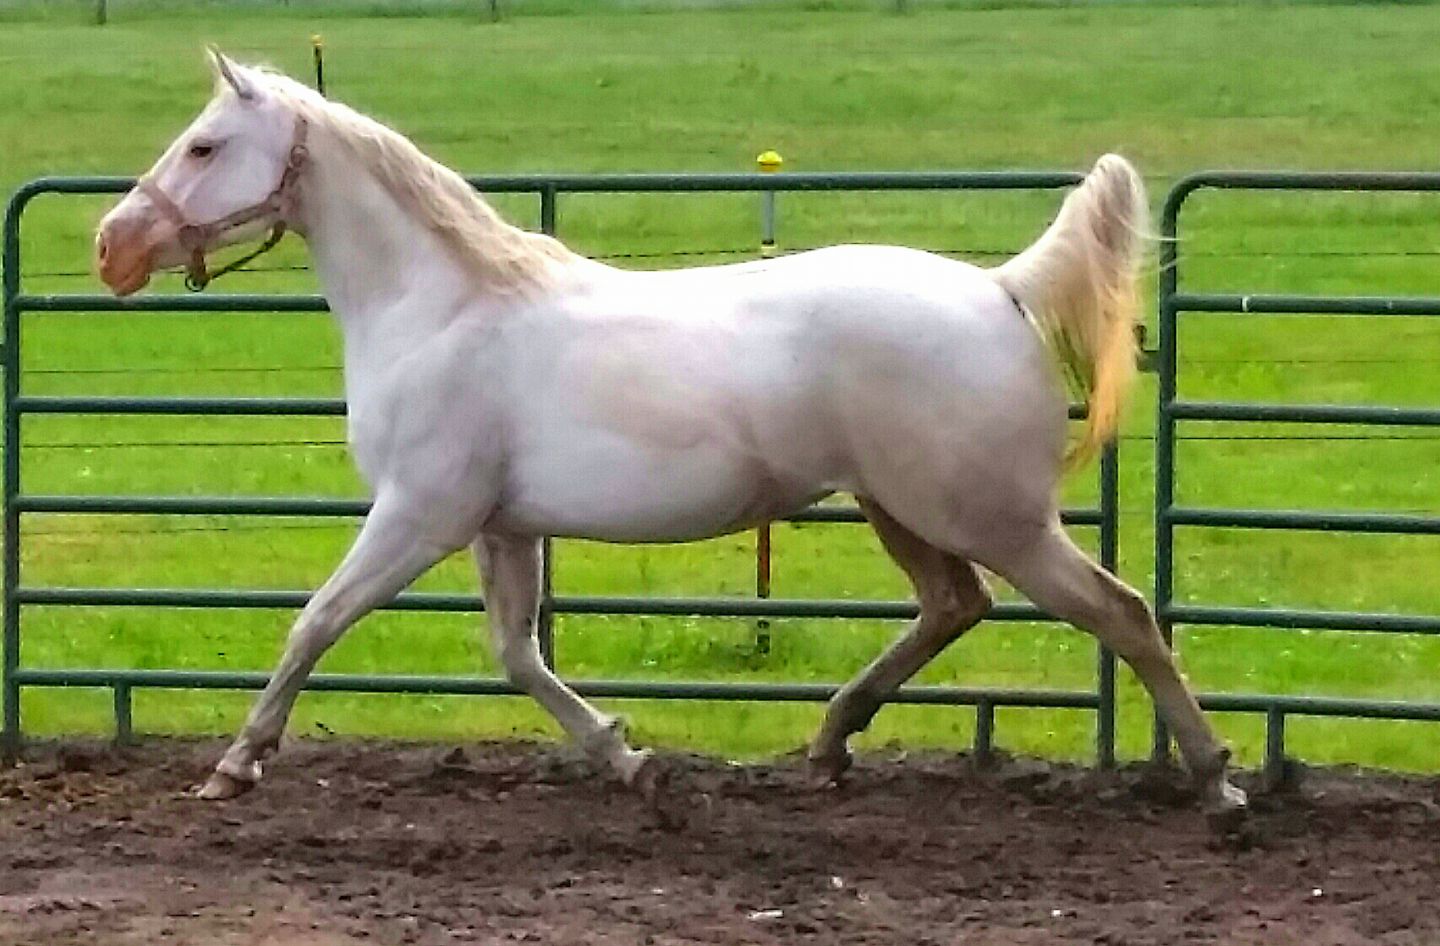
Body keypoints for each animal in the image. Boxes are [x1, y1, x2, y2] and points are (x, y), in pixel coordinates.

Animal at [95, 49, 1246, 816]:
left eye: (204, 144)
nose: (112, 246)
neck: (442, 308)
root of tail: (1001, 291)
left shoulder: (419, 515)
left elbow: (315, 623)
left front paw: (234, 765)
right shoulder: (501, 525)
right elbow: (516, 655)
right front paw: (629, 758)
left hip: (990, 517)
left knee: (1119, 613)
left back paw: (1218, 781)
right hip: (903, 509)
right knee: (953, 608)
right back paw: (828, 744)